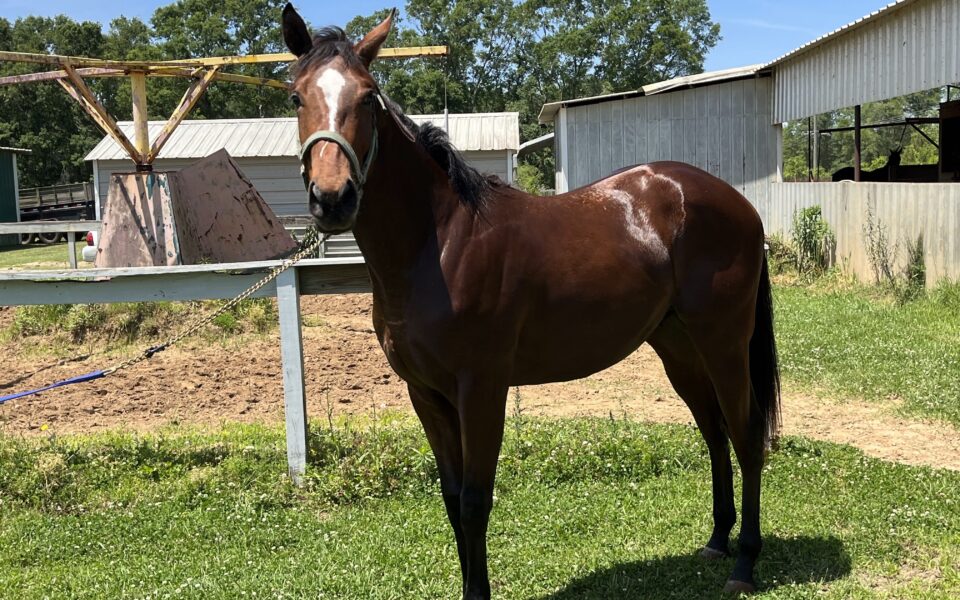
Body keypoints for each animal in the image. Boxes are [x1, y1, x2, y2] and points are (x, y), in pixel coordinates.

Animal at [281, 5, 780, 597]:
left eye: (368, 96)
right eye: (296, 96)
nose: (333, 199)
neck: (440, 242)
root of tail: (737, 204)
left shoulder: (481, 389)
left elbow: (475, 503)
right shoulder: (426, 395)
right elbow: (452, 500)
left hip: (723, 343)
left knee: (745, 435)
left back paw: (744, 563)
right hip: (678, 348)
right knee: (714, 433)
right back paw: (717, 540)